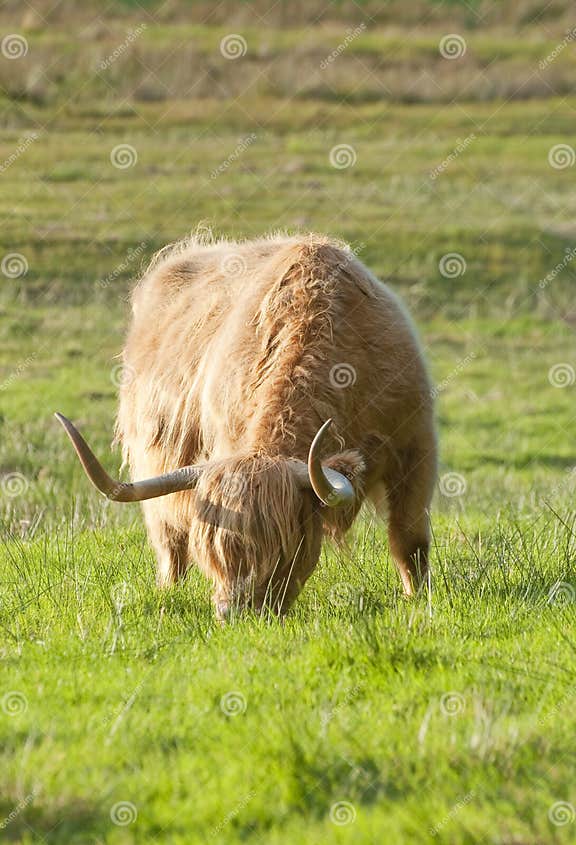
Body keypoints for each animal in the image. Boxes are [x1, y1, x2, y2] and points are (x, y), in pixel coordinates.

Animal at [56, 233, 437, 620]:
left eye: (284, 547)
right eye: (215, 550)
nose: (232, 612)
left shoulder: (416, 445)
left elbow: (409, 538)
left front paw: (419, 599)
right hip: (153, 459)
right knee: (168, 540)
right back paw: (167, 592)